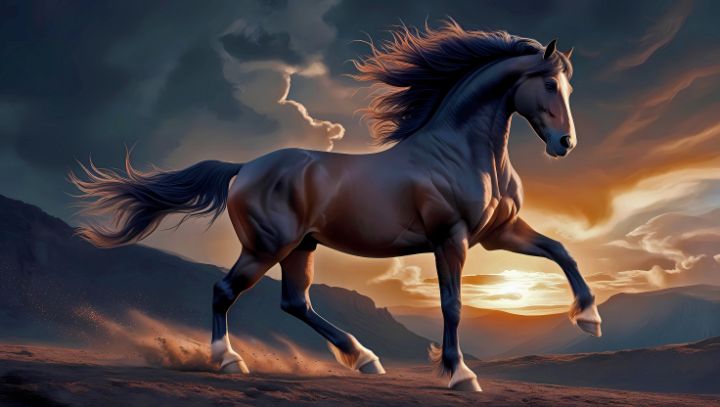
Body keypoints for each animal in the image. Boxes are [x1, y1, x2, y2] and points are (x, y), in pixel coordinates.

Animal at [70, 21, 601, 392]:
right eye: (549, 86)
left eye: (570, 89)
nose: (565, 143)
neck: (461, 152)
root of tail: (245, 166)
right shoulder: (450, 238)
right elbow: (452, 305)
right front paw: (460, 374)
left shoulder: (497, 233)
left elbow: (562, 252)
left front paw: (589, 319)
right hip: (266, 246)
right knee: (225, 291)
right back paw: (230, 361)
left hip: (300, 248)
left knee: (294, 301)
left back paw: (364, 358)